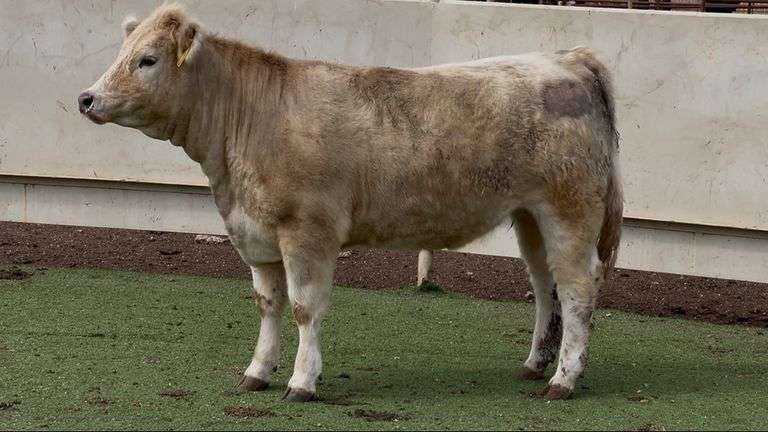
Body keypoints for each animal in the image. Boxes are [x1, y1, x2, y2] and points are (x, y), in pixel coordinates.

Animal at [78, 3, 622, 402]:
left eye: (148, 59)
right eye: (124, 51)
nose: (86, 98)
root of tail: (568, 58)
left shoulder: (308, 231)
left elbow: (304, 307)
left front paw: (302, 382)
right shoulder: (256, 235)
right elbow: (268, 304)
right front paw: (257, 371)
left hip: (570, 210)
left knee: (577, 287)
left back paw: (564, 380)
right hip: (530, 215)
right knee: (545, 285)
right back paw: (535, 364)